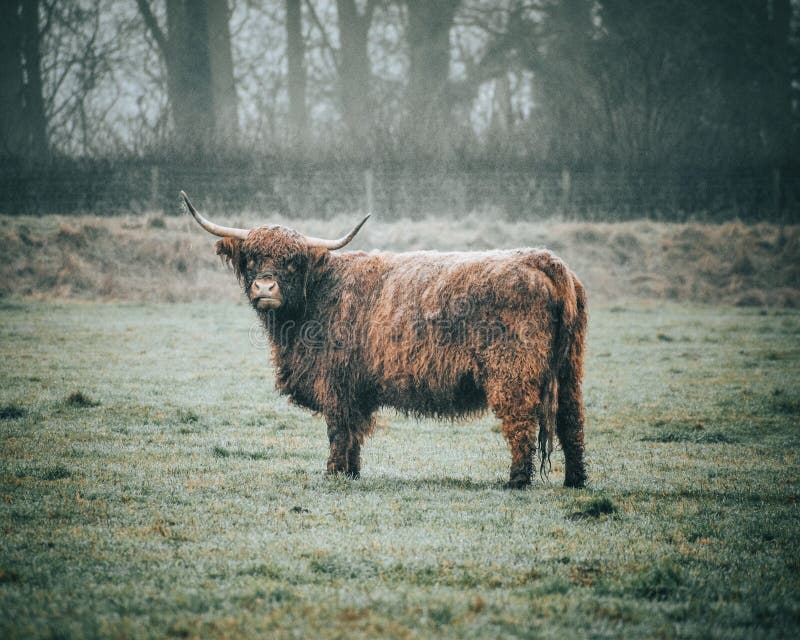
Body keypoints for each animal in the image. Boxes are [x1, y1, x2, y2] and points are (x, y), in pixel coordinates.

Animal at [181, 191, 587, 489]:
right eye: (251, 257)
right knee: (572, 419)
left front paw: (333, 474)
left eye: (293, 261)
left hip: (512, 370)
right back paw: (575, 481)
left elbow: (338, 429)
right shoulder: (357, 387)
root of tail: (545, 261)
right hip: (569, 369)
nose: (265, 287)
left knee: (522, 419)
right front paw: (352, 473)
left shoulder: (336, 381)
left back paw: (517, 481)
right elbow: (354, 432)